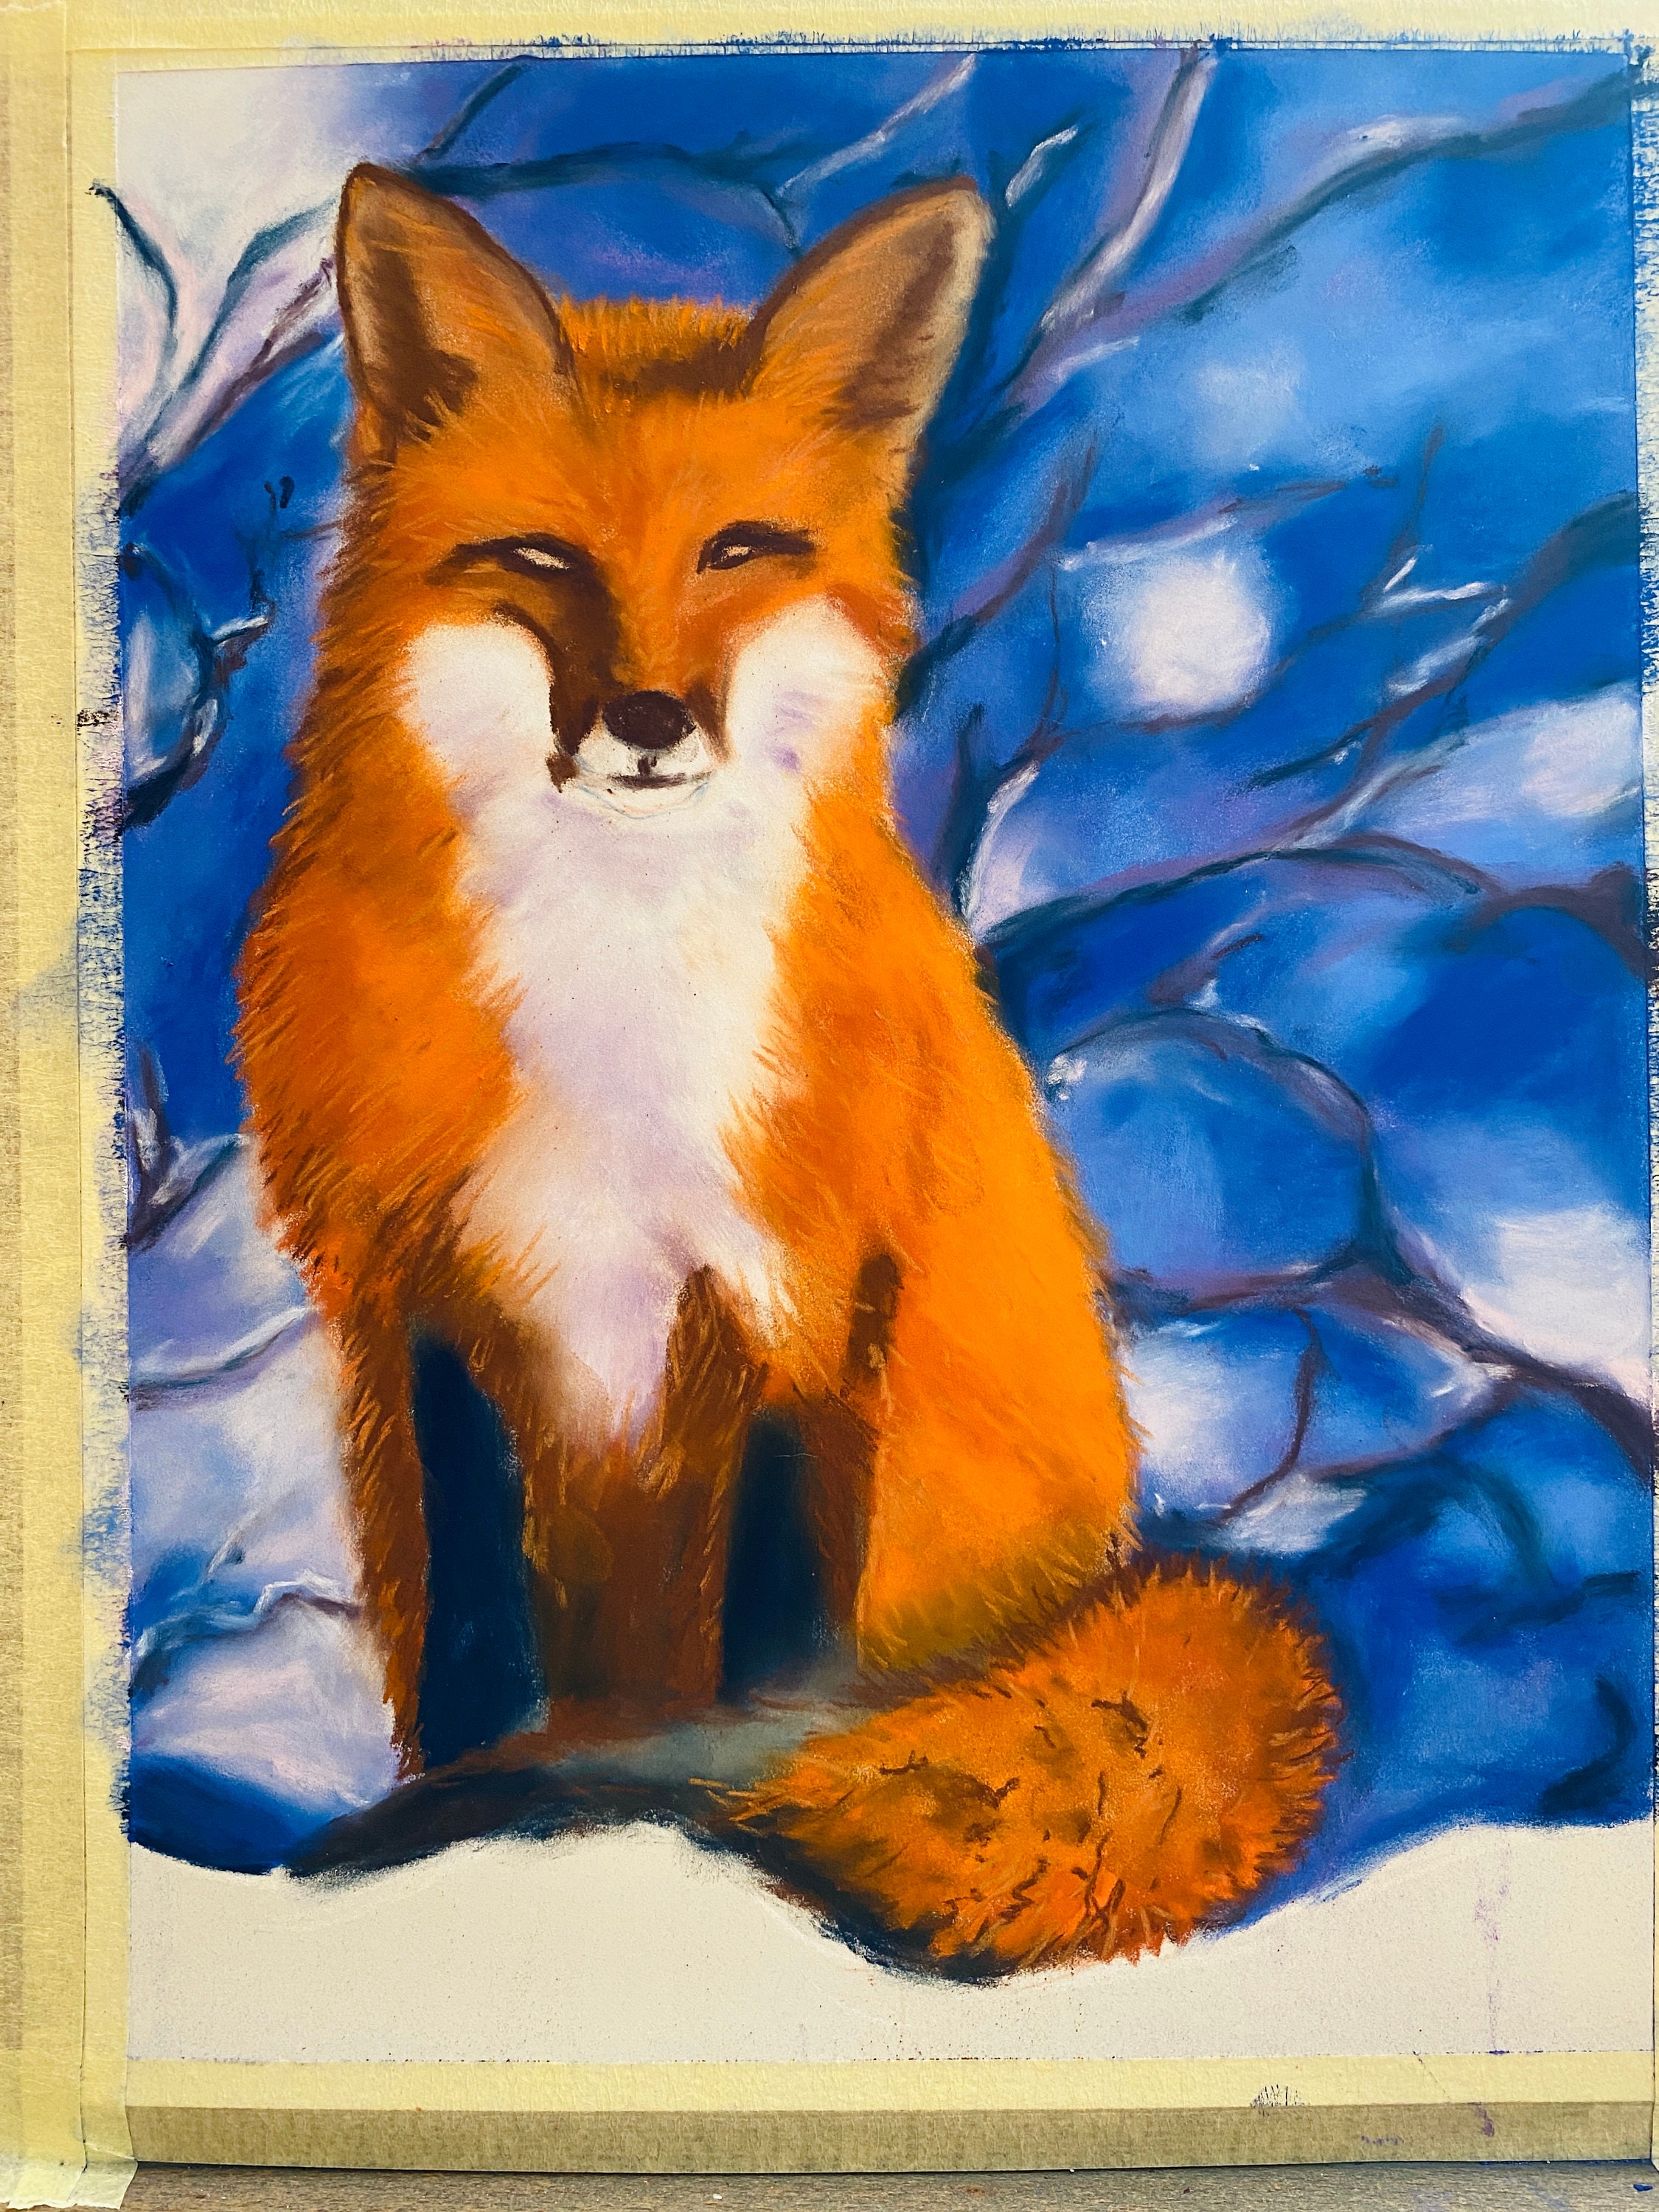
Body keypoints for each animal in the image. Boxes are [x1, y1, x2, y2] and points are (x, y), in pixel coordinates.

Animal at [236, 162, 1341, 1974]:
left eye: (740, 550)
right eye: (537, 556)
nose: (648, 720)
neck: (619, 1018)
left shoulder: (803, 1302)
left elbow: (763, 1684)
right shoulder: (422, 1291)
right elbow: (472, 1659)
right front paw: (433, 1848)